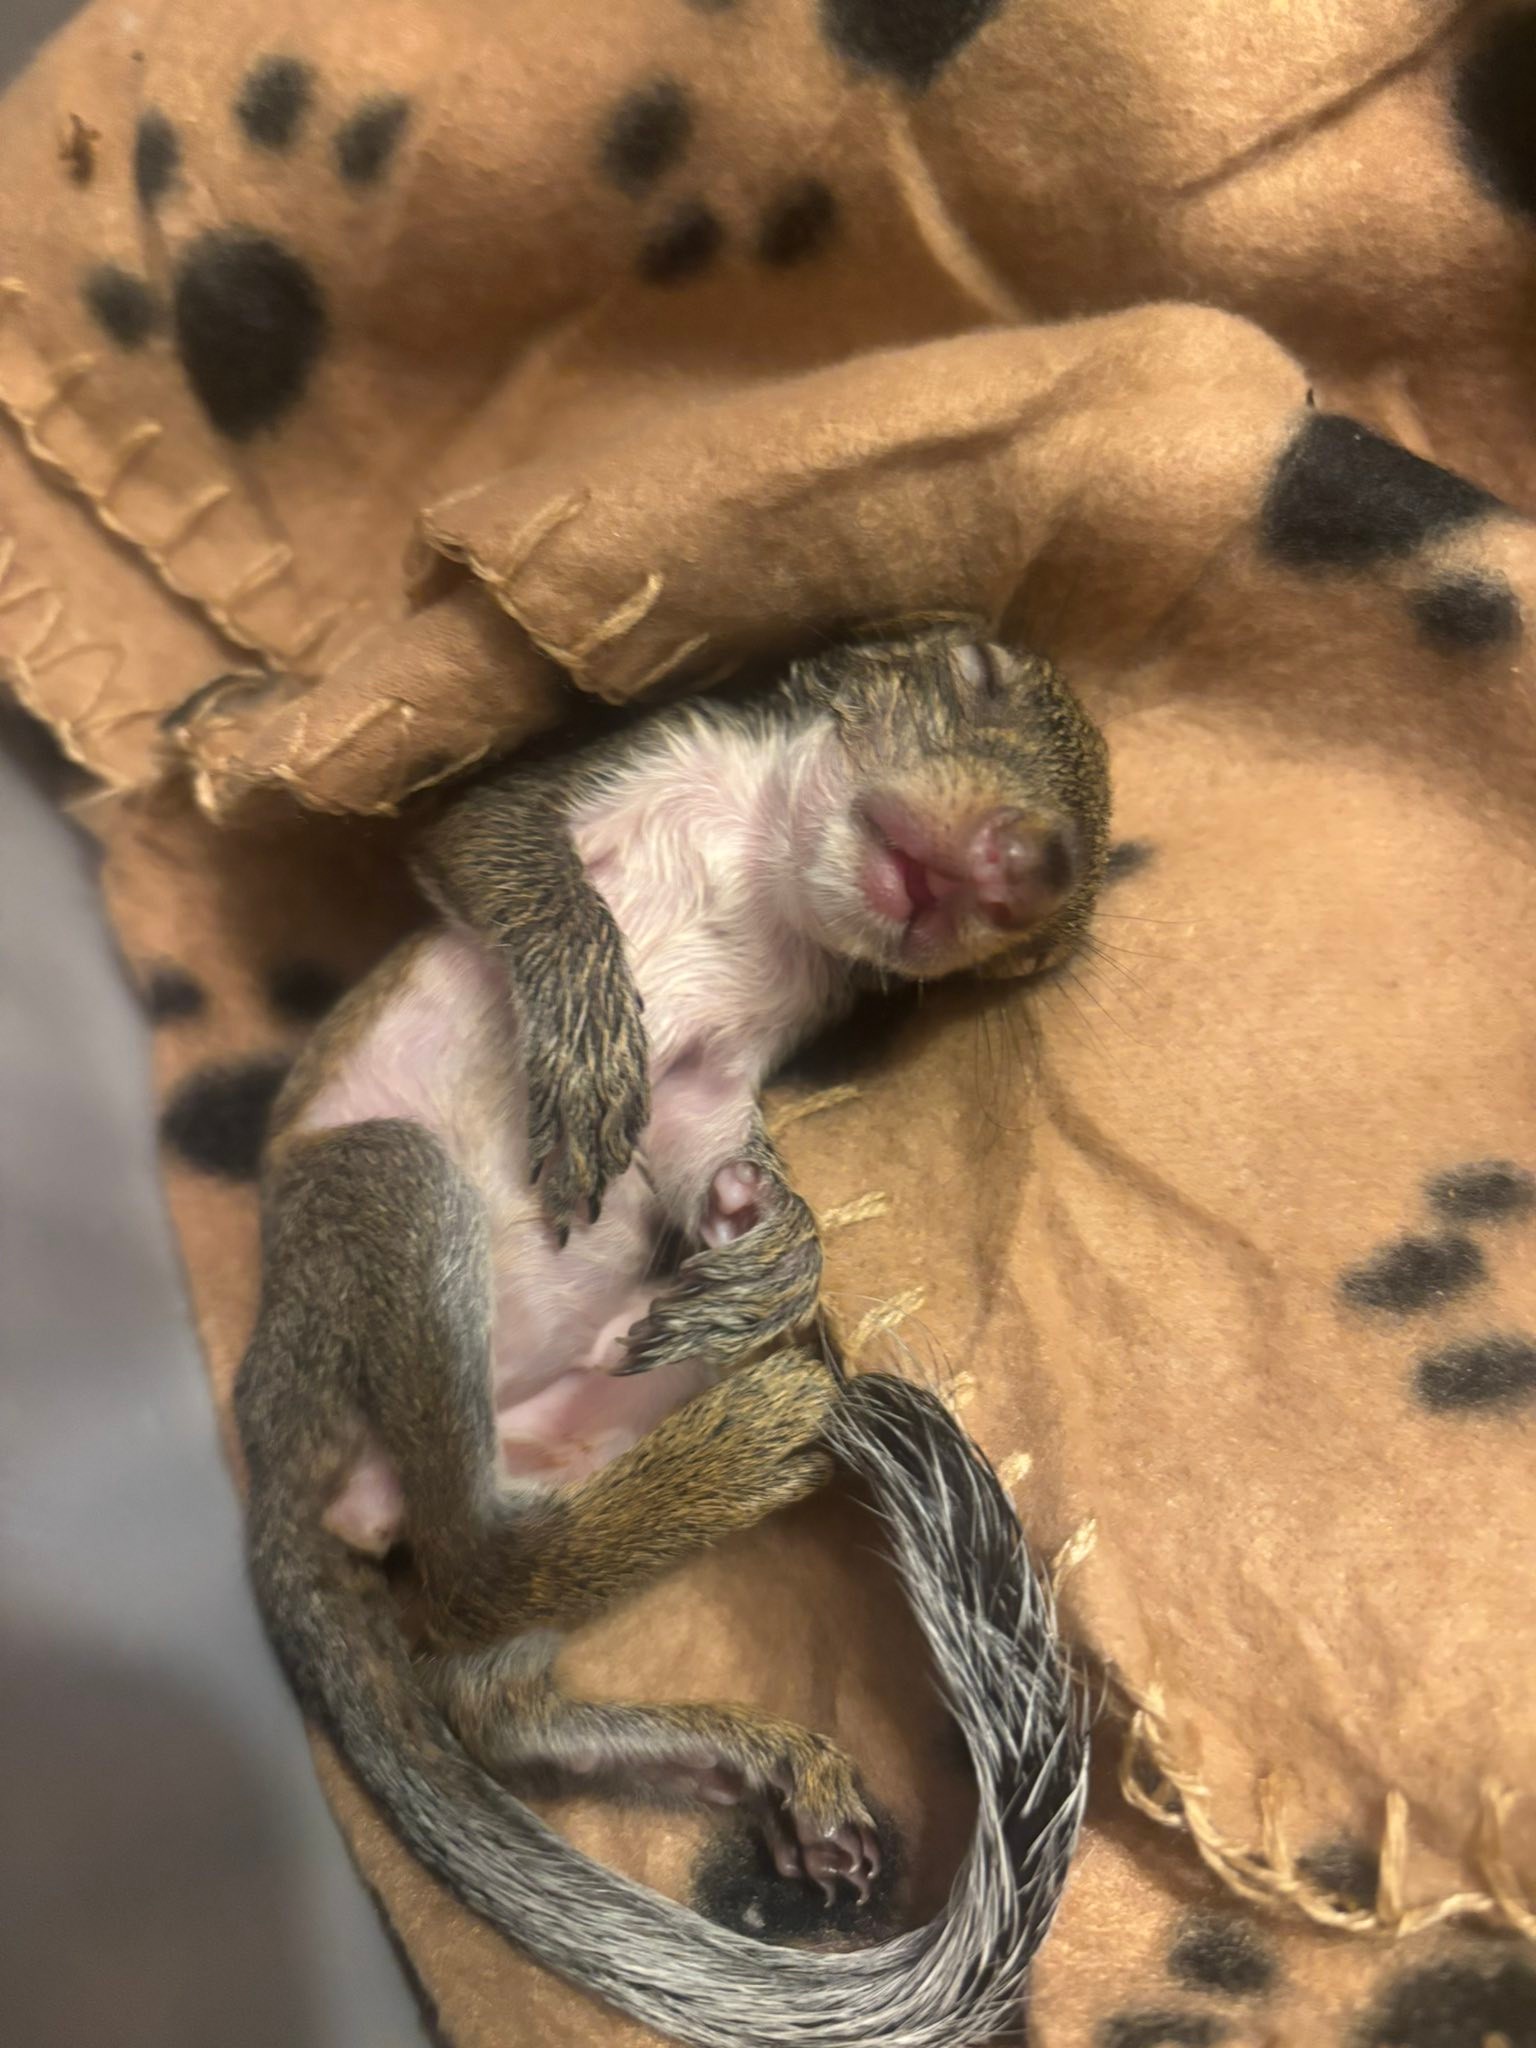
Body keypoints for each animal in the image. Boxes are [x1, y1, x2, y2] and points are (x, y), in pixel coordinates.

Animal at [233, 626, 1111, 2047]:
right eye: (976, 669)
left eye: (1053, 919)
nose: (1028, 868)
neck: (767, 879)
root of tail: (277, 1450)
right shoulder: (607, 767)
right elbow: (497, 848)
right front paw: (590, 1020)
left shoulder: (718, 1080)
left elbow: (715, 1157)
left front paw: (771, 1236)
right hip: (380, 1195)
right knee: (473, 1568)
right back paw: (747, 1453)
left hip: (582, 1418)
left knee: (486, 1673)